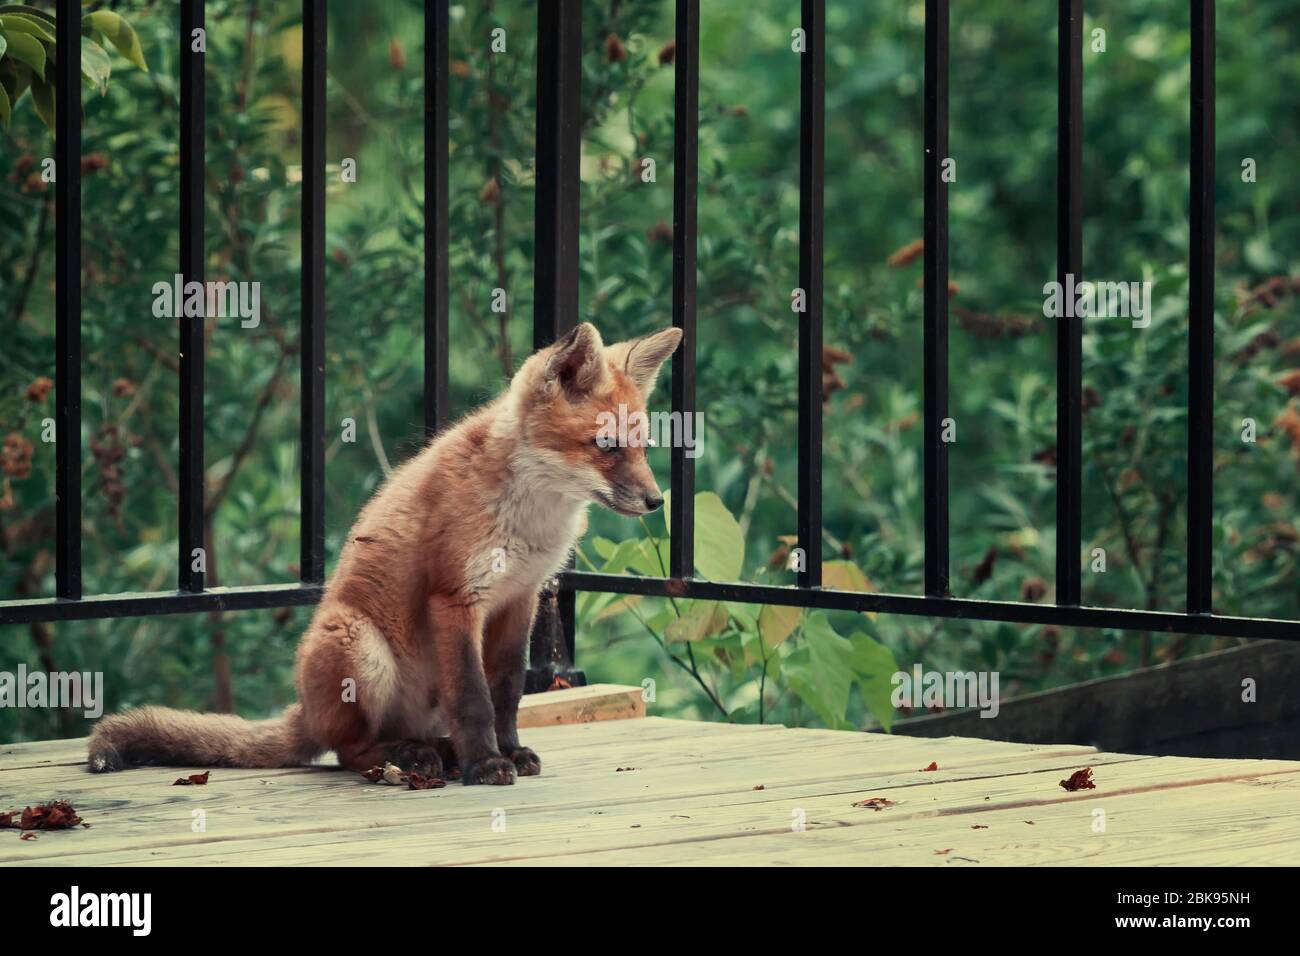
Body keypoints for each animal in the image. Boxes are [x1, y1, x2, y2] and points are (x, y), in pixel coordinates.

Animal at [88, 323, 682, 785]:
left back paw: (435, 752)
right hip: (360, 648)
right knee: (348, 752)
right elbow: (474, 697)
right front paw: (486, 764)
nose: (657, 501)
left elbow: (507, 690)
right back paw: (410, 759)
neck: (533, 515)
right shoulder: (454, 598)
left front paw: (509, 752)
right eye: (605, 447)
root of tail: (306, 710)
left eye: (642, 447)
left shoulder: (521, 597)